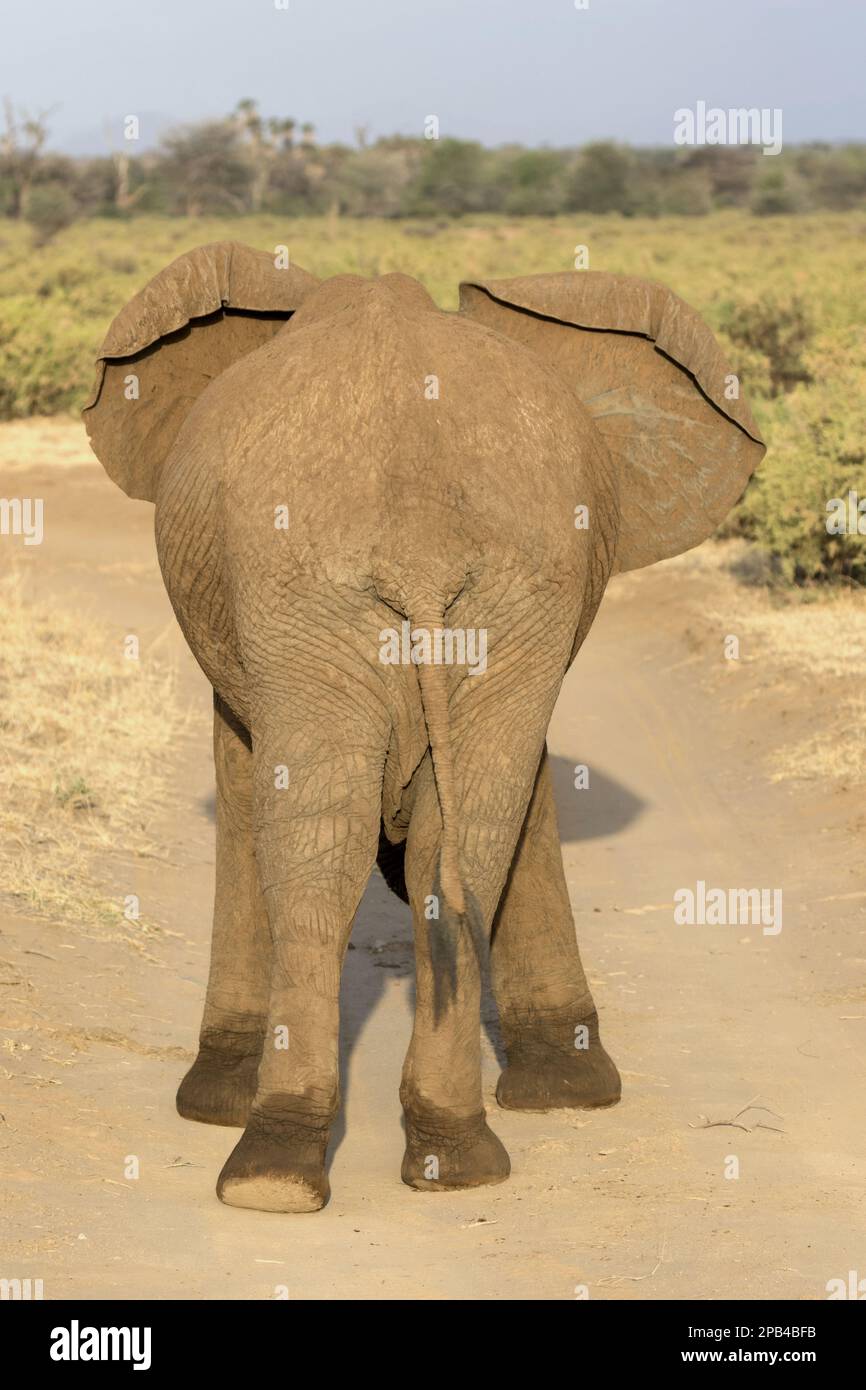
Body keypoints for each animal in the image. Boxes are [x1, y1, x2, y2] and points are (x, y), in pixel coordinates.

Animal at [83, 241, 764, 1213]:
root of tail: (419, 537)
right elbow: (514, 802)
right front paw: (571, 1090)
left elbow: (246, 782)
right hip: (459, 592)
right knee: (457, 833)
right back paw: (424, 1161)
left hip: (346, 592)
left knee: (330, 842)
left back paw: (283, 1174)